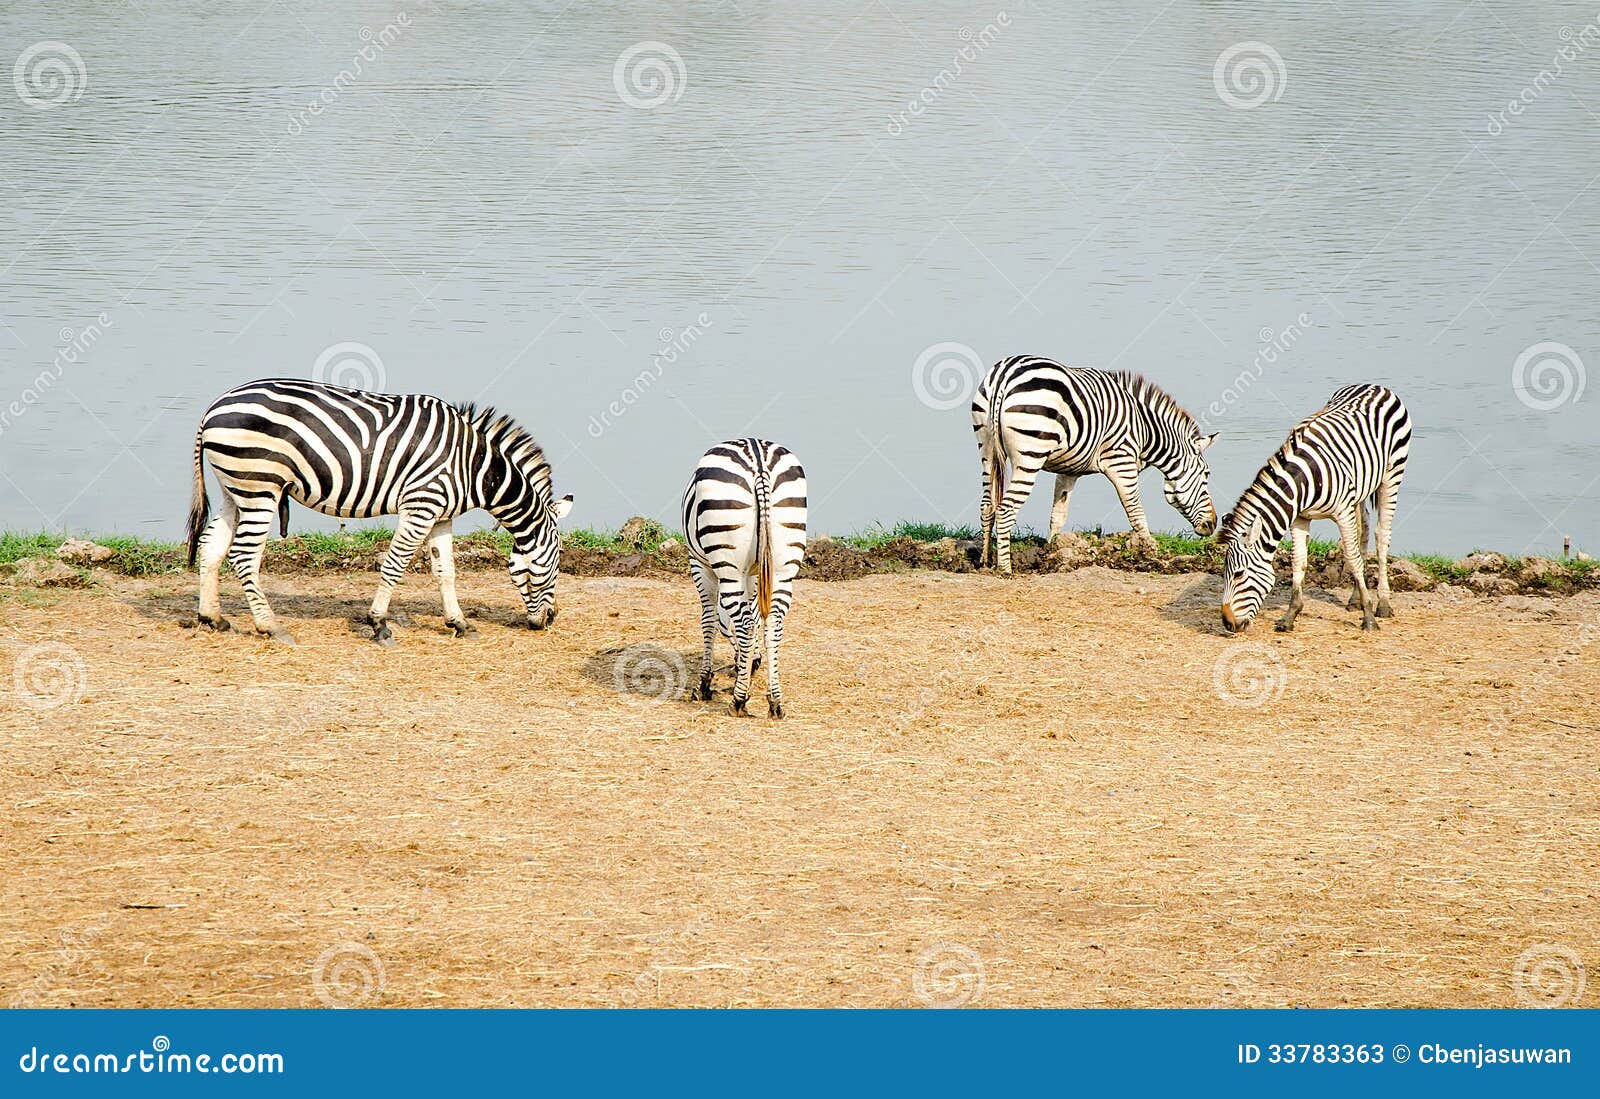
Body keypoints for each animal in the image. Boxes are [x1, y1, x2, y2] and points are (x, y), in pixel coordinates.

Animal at [184, 378, 573, 646]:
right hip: (260, 486)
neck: (472, 466)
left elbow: (446, 572)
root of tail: (213, 407)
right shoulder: (421, 505)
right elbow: (395, 565)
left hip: (235, 489)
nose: (550, 620)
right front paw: (379, 624)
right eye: (556, 562)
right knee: (244, 556)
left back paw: (212, 617)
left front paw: (458, 623)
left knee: (211, 546)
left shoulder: (441, 515)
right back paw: (271, 626)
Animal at [681, 439, 808, 718]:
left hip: (727, 562)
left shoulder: (700, 565)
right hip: (783, 567)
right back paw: (775, 702)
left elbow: (709, 620)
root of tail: (758, 460)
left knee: (745, 624)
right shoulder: (754, 573)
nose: (751, 664)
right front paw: (749, 664)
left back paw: (738, 701)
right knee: (773, 624)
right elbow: (756, 615)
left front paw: (704, 684)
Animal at [971, 356, 1219, 573]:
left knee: (987, 506)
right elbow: (1136, 512)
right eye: (1206, 475)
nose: (1213, 524)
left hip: (986, 447)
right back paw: (1005, 568)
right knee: (1006, 509)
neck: (1145, 429)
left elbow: (1057, 515)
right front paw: (1151, 551)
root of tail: (1004, 376)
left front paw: (1053, 550)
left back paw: (985, 561)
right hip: (1030, 455)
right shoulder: (1122, 462)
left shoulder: (1068, 470)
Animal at [1218, 384, 1411, 634]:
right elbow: (1298, 562)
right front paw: (1290, 616)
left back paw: (1383, 603)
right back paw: (1354, 599)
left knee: (1381, 535)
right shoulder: (1299, 518)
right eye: (1224, 574)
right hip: (1360, 489)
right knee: (1364, 530)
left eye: (1239, 574)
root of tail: (1375, 385)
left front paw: (1369, 618)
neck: (1302, 481)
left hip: (1392, 474)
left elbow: (1352, 558)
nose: (1227, 623)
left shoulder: (1342, 512)